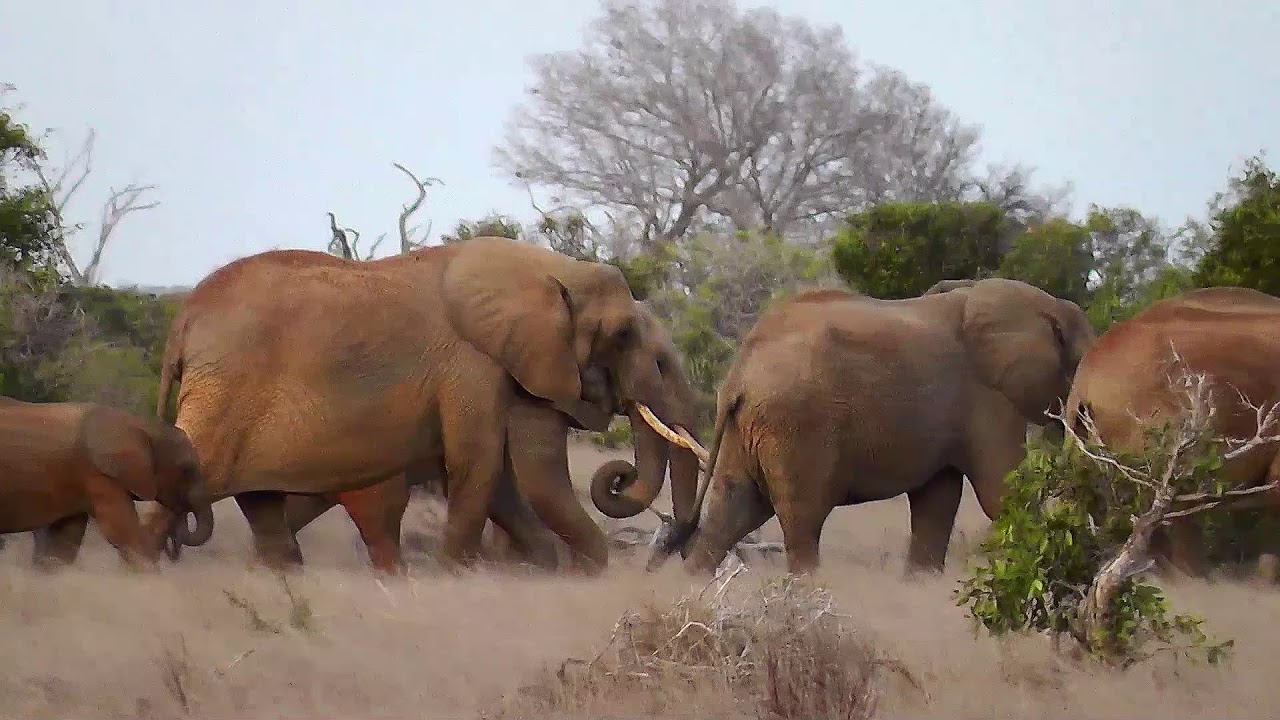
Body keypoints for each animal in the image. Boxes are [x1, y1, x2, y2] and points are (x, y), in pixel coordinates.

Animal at [0, 397, 212, 570]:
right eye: (185, 470)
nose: (180, 512)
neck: (140, 425)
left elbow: (63, 543)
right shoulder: (100, 477)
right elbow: (125, 534)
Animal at [642, 277, 1096, 576]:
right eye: (1078, 363)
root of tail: (740, 371)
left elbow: (937, 504)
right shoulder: (991, 399)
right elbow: (1004, 495)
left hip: (748, 430)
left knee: (733, 513)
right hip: (797, 428)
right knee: (802, 522)